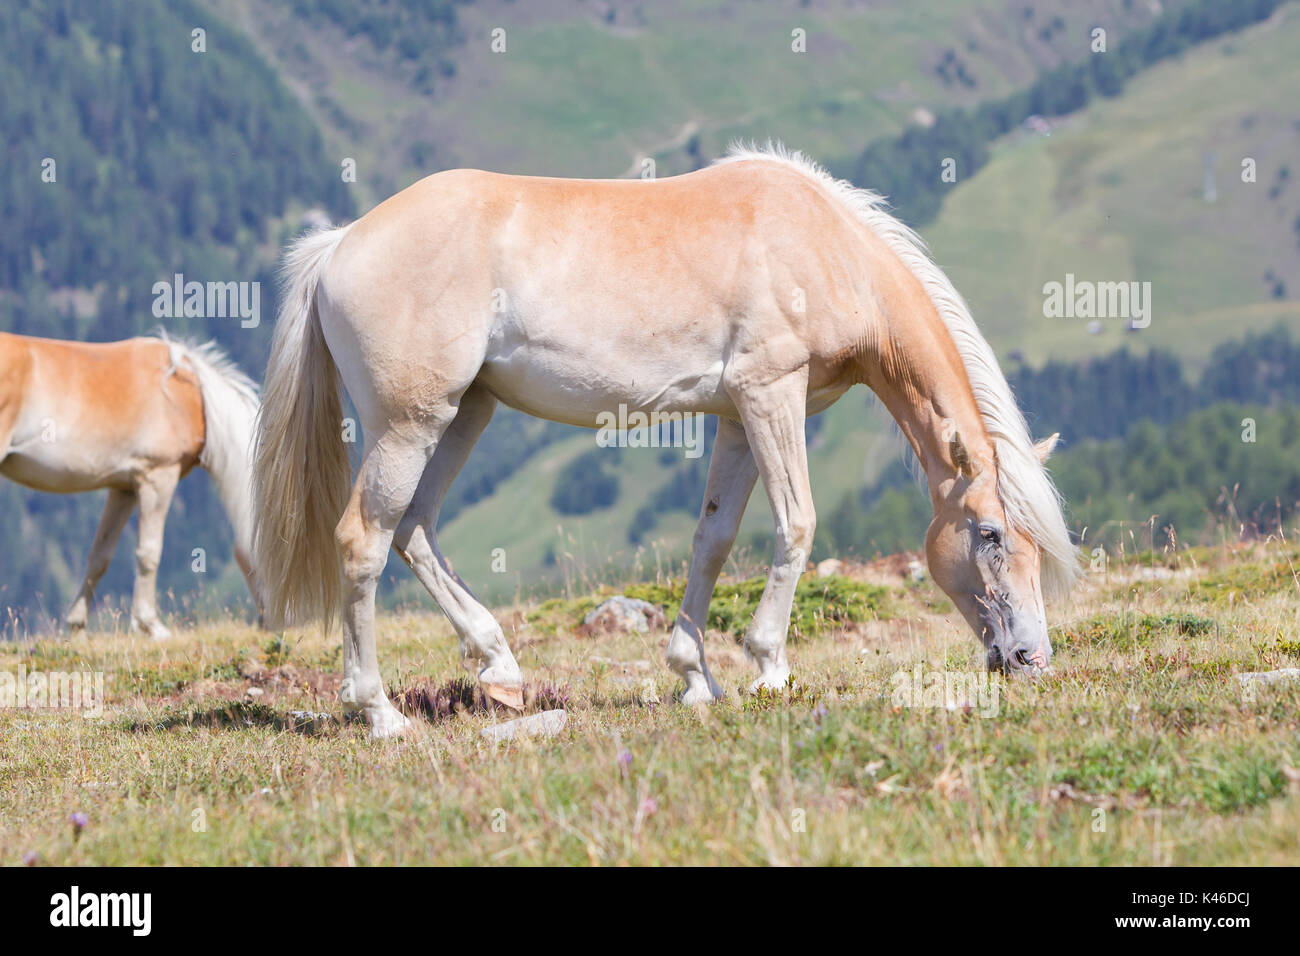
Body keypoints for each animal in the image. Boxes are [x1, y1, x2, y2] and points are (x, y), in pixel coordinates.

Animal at [0, 332, 262, 638]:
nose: (284, 624)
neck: (190, 397)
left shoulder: (123, 487)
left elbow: (100, 556)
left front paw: (77, 626)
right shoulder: (158, 476)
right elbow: (149, 552)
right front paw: (150, 625)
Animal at [253, 143, 1079, 738]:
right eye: (990, 533)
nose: (1031, 658)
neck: (826, 248)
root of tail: (339, 246)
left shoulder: (738, 415)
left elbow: (713, 539)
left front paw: (695, 677)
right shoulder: (771, 394)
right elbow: (797, 524)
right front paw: (769, 667)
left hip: (464, 414)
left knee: (413, 528)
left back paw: (502, 671)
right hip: (412, 424)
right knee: (364, 540)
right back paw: (381, 714)